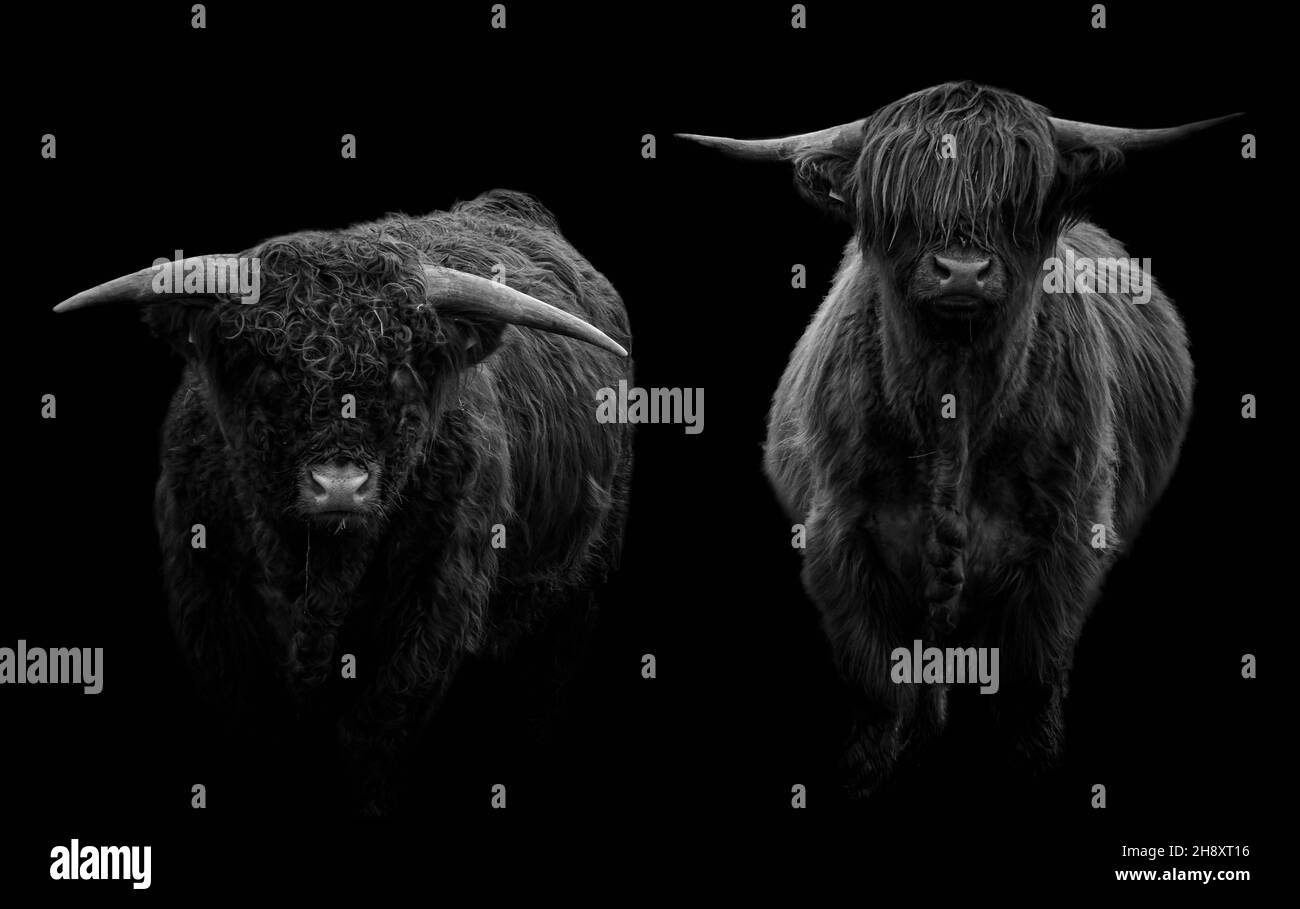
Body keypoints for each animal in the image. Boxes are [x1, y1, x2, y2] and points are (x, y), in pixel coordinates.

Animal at [54, 190, 633, 814]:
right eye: (265, 366)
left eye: (401, 370)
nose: (338, 485)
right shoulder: (207, 605)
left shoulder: (433, 609)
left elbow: (376, 732)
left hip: (582, 584)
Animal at [679, 82, 1237, 797]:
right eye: (899, 205)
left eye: (1019, 202)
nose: (963, 273)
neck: (954, 409)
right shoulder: (844, 541)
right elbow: (879, 685)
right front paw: (870, 770)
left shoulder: (1062, 547)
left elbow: (1030, 686)